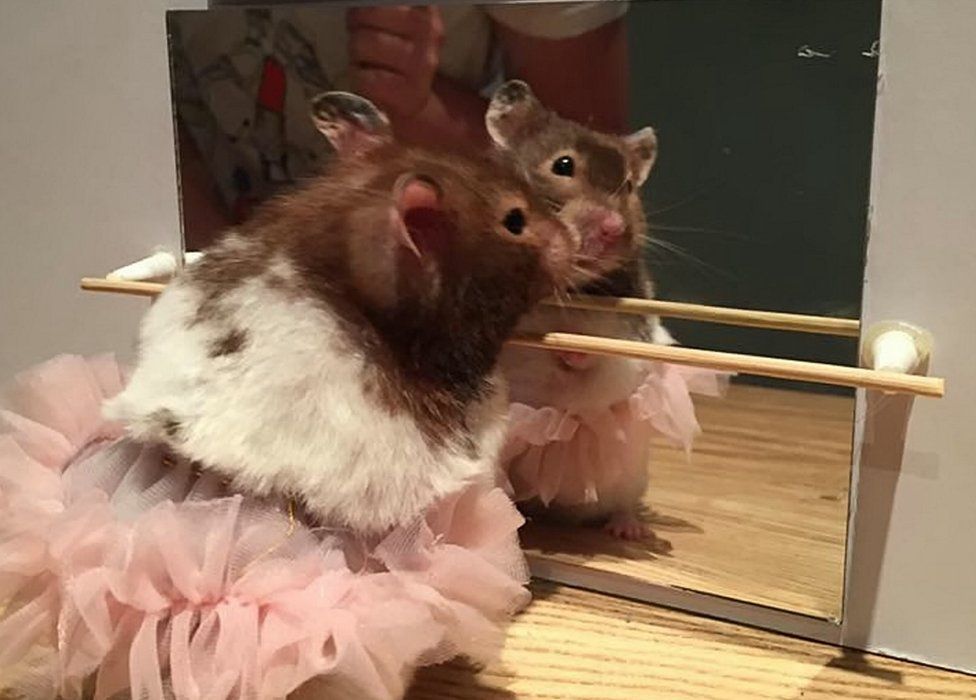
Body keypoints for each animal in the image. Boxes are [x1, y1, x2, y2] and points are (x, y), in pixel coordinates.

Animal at [487, 80, 671, 539]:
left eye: (629, 186)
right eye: (563, 165)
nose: (614, 229)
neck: (569, 287)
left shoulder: (628, 345)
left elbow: (598, 360)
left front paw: (573, 350)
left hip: (631, 479)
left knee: (624, 505)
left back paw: (628, 530)